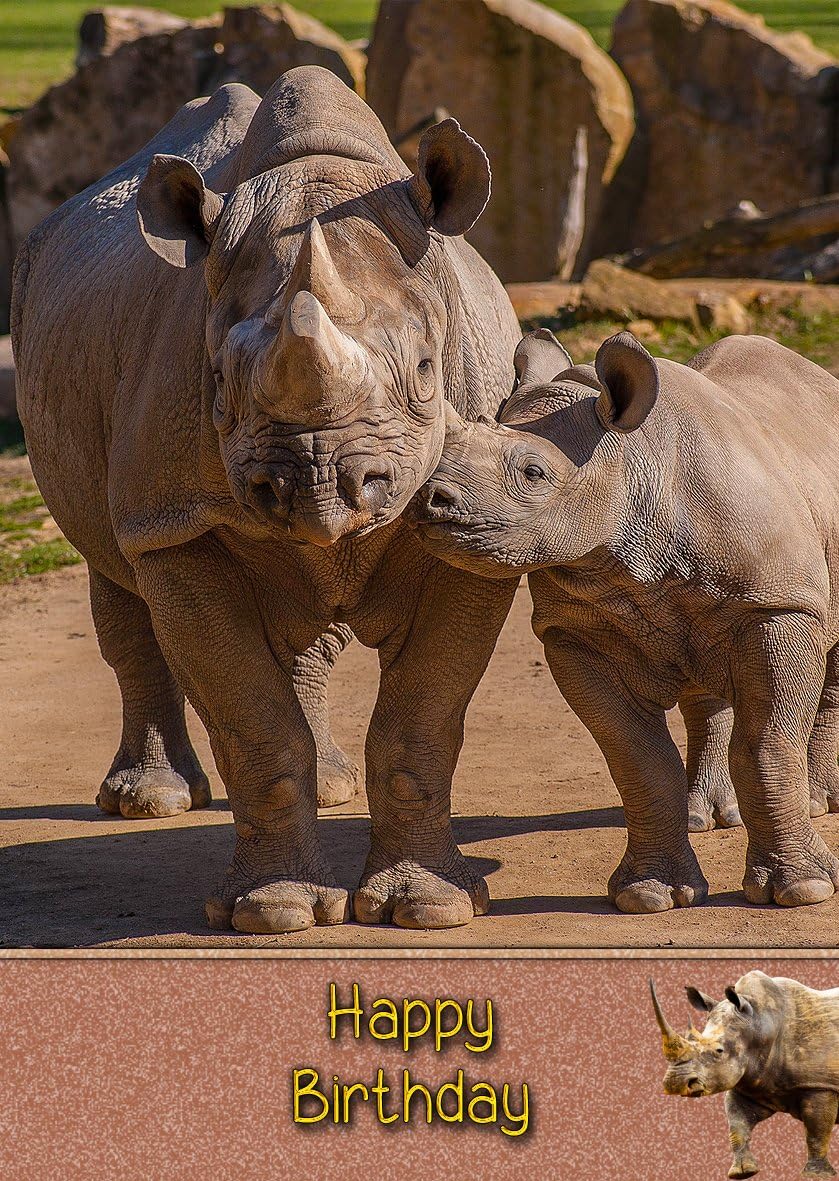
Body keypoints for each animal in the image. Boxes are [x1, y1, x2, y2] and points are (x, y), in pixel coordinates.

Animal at [12, 66, 521, 934]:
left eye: (427, 371)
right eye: (217, 381)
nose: (317, 484)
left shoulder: (474, 534)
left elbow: (421, 721)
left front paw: (428, 907)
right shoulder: (175, 520)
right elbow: (253, 720)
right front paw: (274, 912)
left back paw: (331, 785)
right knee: (115, 575)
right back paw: (148, 800)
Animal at [409, 327, 839, 912]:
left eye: (533, 473)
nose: (430, 499)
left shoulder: (778, 603)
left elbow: (766, 745)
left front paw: (803, 891)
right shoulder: (575, 631)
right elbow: (638, 760)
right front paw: (650, 896)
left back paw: (818, 803)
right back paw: (703, 816)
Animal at [651, 974, 839, 1178]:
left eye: (719, 1051)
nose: (675, 1083)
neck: (760, 1023)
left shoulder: (819, 1084)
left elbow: (816, 1131)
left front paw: (816, 1176)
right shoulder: (752, 1083)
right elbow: (737, 1126)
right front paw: (742, 1172)